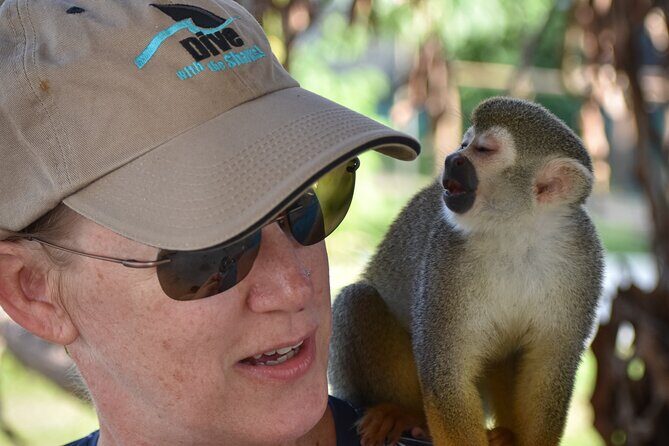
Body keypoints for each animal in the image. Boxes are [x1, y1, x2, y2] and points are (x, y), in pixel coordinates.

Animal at [329, 97, 604, 446]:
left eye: (483, 150)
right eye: (464, 143)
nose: (452, 158)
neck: (517, 234)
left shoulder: (583, 261)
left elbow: (547, 373)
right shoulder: (446, 255)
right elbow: (448, 375)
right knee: (358, 299)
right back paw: (403, 413)